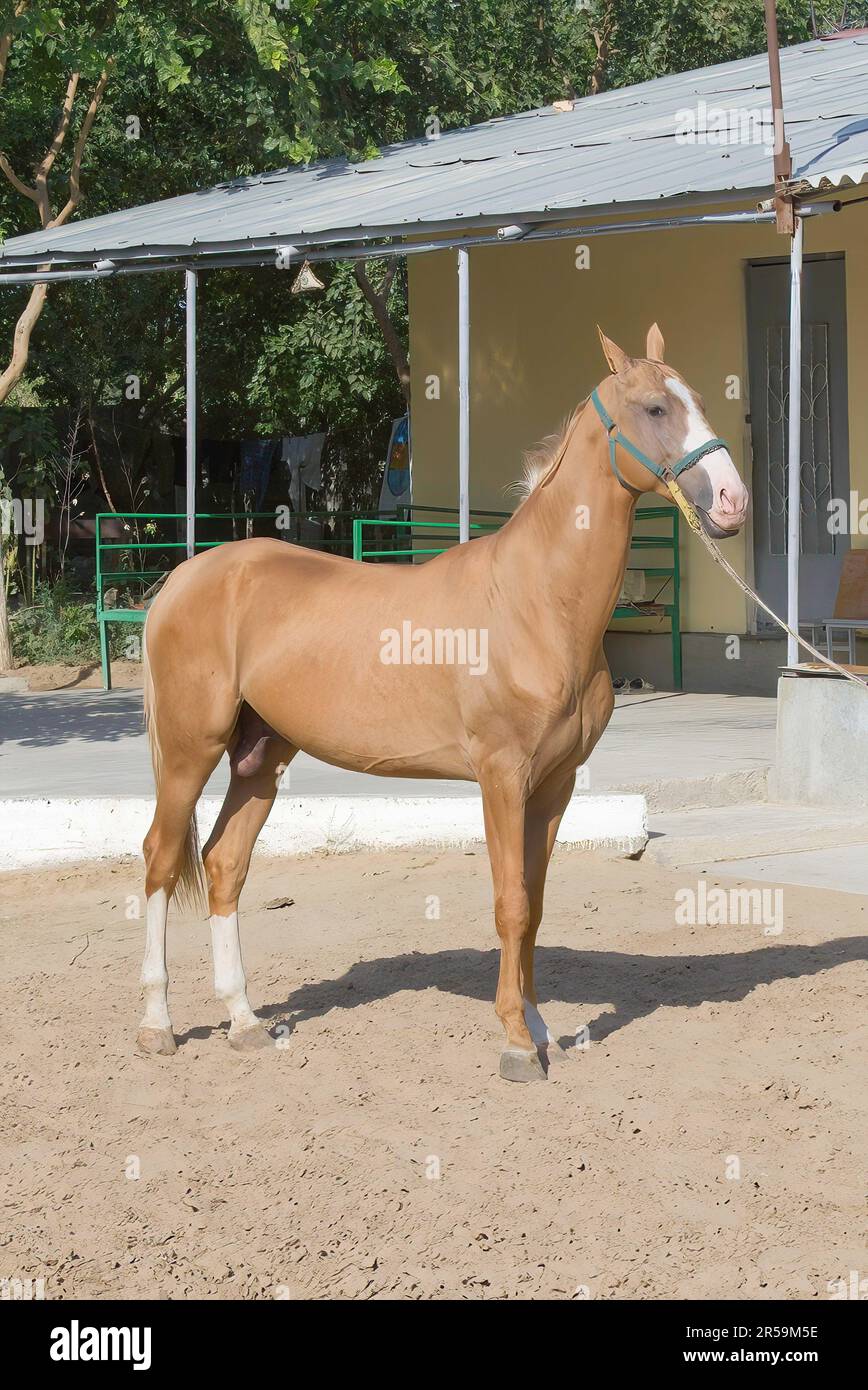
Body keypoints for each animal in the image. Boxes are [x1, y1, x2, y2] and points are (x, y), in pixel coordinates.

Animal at [137, 324, 749, 1082]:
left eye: (699, 400)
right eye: (655, 408)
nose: (731, 500)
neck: (534, 603)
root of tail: (181, 580)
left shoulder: (554, 784)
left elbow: (534, 906)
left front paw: (541, 1031)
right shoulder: (501, 777)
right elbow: (510, 903)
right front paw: (516, 1044)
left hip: (260, 758)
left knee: (224, 865)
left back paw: (245, 1022)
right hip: (189, 753)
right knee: (161, 859)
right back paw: (157, 1025)